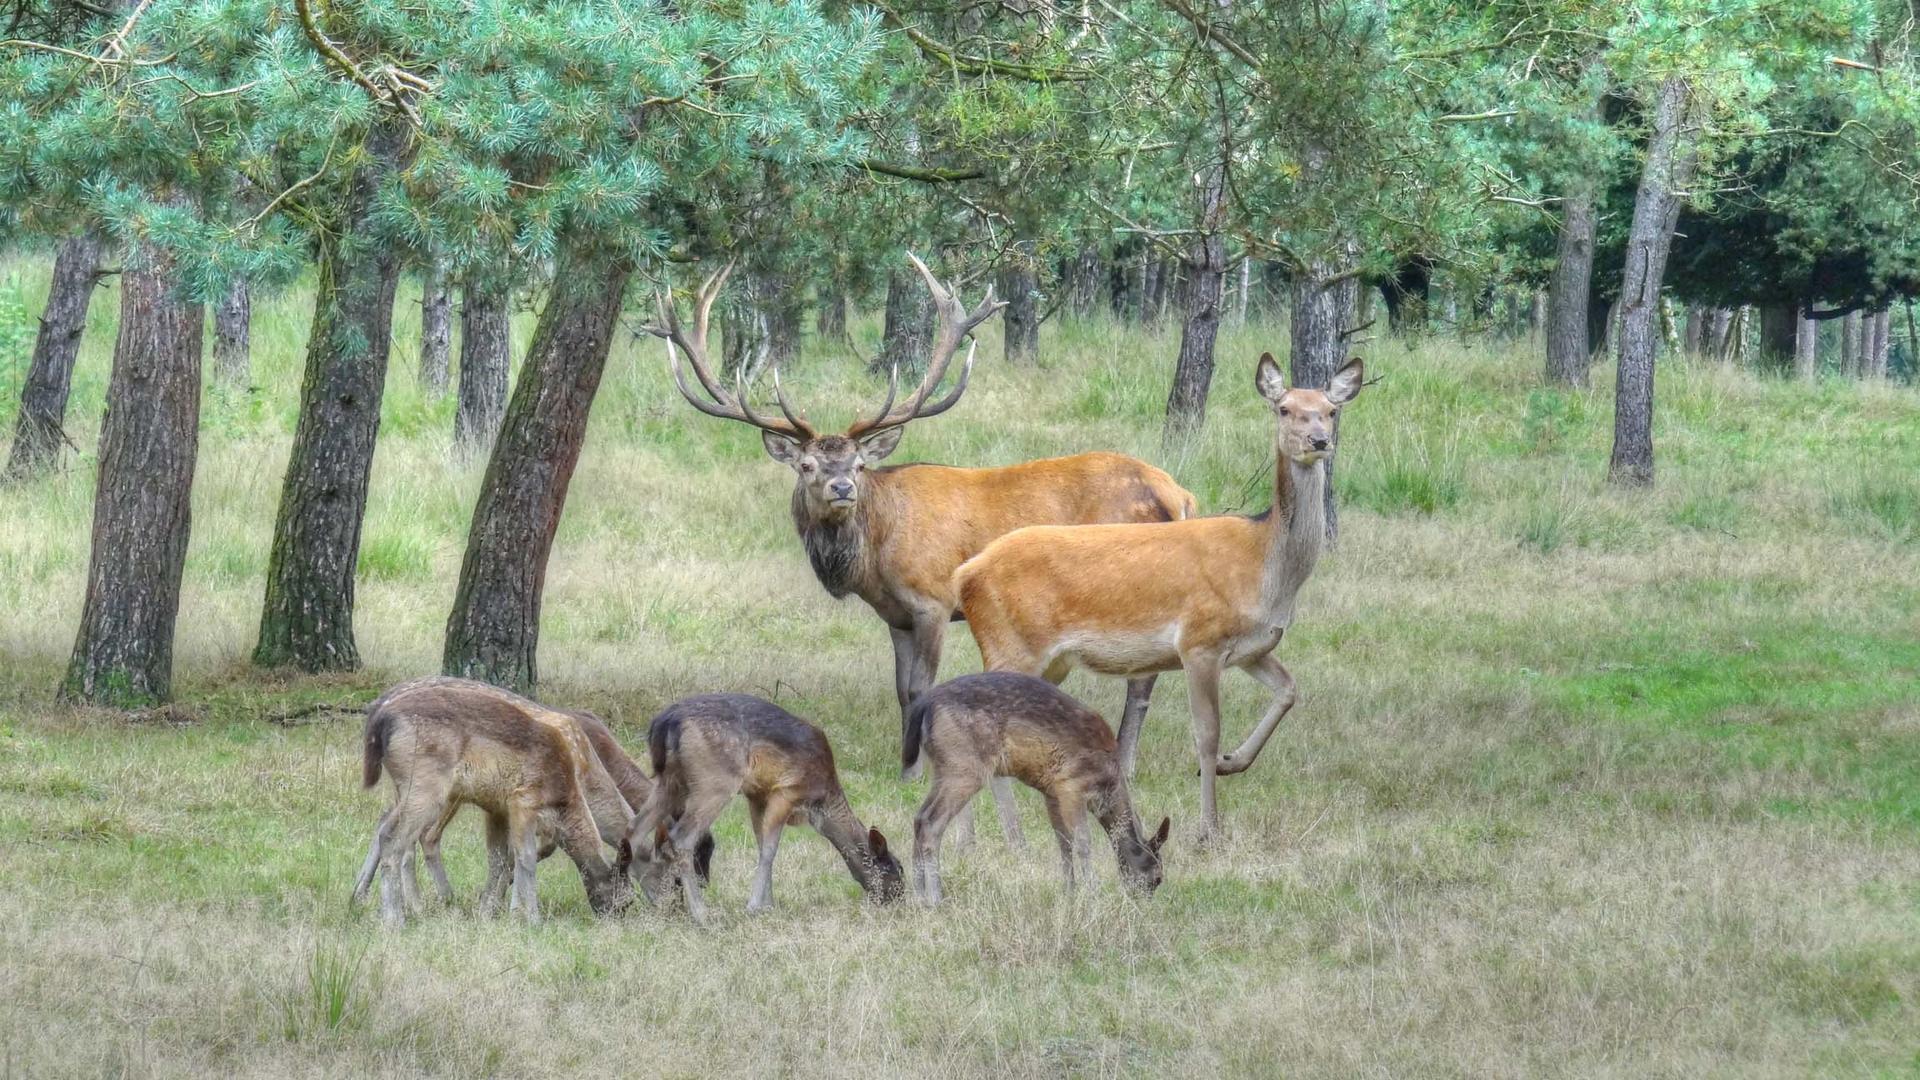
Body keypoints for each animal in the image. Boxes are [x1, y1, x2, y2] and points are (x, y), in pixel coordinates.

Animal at [349, 676, 633, 922]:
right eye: (625, 900)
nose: (615, 919)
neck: (563, 797)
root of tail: (379, 719)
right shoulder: (523, 799)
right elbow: (525, 857)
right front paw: (529, 917)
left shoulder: (496, 807)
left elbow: (499, 858)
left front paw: (490, 911)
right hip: (426, 787)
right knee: (396, 837)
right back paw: (396, 918)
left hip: (409, 788)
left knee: (386, 826)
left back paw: (365, 899)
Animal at [622, 691, 906, 922]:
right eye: (897, 870)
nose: (899, 900)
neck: (822, 802)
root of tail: (664, 724)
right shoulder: (787, 791)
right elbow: (770, 849)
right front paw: (756, 906)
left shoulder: (756, 796)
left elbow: (762, 846)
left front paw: (767, 904)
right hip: (715, 781)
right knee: (681, 838)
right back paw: (701, 914)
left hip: (669, 781)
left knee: (633, 830)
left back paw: (635, 899)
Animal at [645, 251, 1190, 841]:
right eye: (808, 465)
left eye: (860, 463)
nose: (842, 487)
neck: (875, 555)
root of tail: (1175, 493)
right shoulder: (896, 615)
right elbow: (903, 688)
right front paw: (904, 767)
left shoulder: (932, 600)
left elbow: (925, 685)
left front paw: (918, 771)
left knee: (1143, 680)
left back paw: (1126, 763)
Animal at [902, 672, 1159, 899]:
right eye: (1157, 877)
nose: (1143, 899)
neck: (1109, 784)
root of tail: (924, 708)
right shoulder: (1072, 785)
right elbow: (1083, 843)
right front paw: (1092, 893)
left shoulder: (1052, 792)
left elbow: (1064, 842)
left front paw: (1069, 892)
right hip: (964, 766)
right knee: (931, 821)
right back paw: (935, 897)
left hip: (944, 768)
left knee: (919, 817)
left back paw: (919, 895)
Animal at [960, 353, 1367, 841]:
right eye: (1284, 408)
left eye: (1331, 409)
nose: (1319, 440)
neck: (1264, 569)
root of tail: (967, 572)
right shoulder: (1199, 641)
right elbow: (1205, 733)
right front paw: (1209, 828)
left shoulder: (1252, 647)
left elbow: (1288, 690)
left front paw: (1232, 762)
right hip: (1011, 643)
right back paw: (1007, 834)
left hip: (1048, 660)